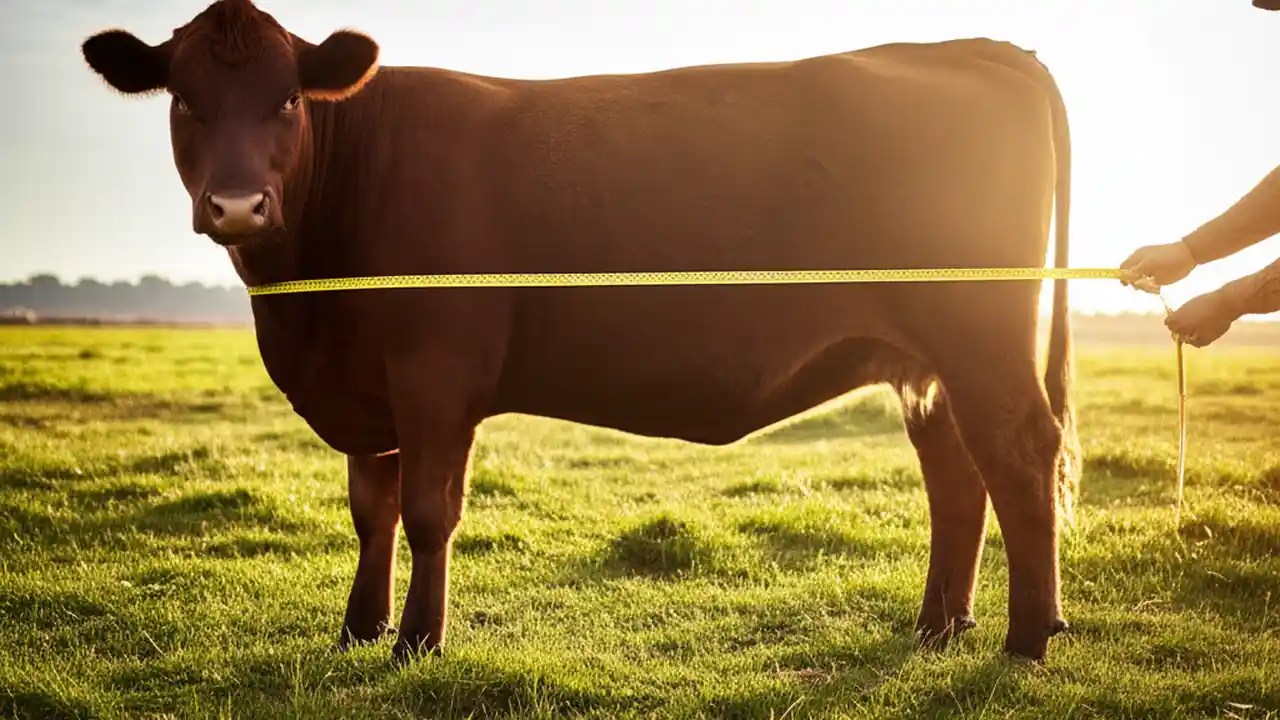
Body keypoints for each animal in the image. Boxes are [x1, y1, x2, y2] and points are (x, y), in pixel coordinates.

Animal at [82, 0, 1081, 663]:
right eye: (184, 100)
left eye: (289, 99)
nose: (237, 204)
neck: (308, 298)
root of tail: (978, 48)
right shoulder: (368, 387)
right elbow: (371, 508)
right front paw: (358, 630)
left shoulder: (437, 375)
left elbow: (428, 511)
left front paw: (416, 643)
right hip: (928, 360)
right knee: (957, 472)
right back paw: (940, 626)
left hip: (980, 341)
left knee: (1018, 454)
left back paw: (1028, 639)